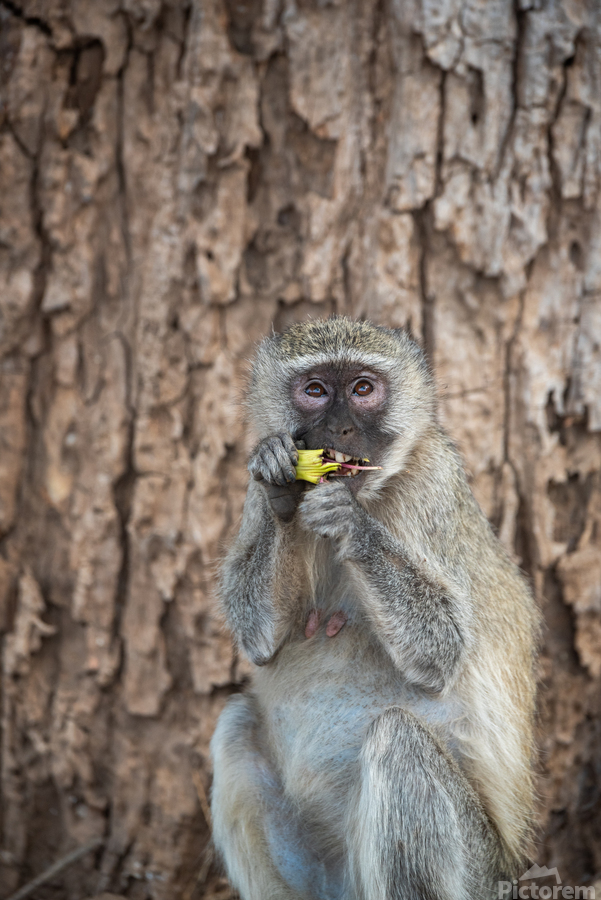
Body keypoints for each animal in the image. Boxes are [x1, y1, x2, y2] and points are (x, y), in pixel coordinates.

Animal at [210, 317, 539, 900]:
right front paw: (282, 485)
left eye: (363, 389)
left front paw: (350, 522)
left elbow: (441, 651)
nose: (339, 431)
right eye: (316, 390)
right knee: (235, 722)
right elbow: (259, 639)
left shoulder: (434, 483)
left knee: (399, 740)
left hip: (483, 873)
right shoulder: (251, 482)